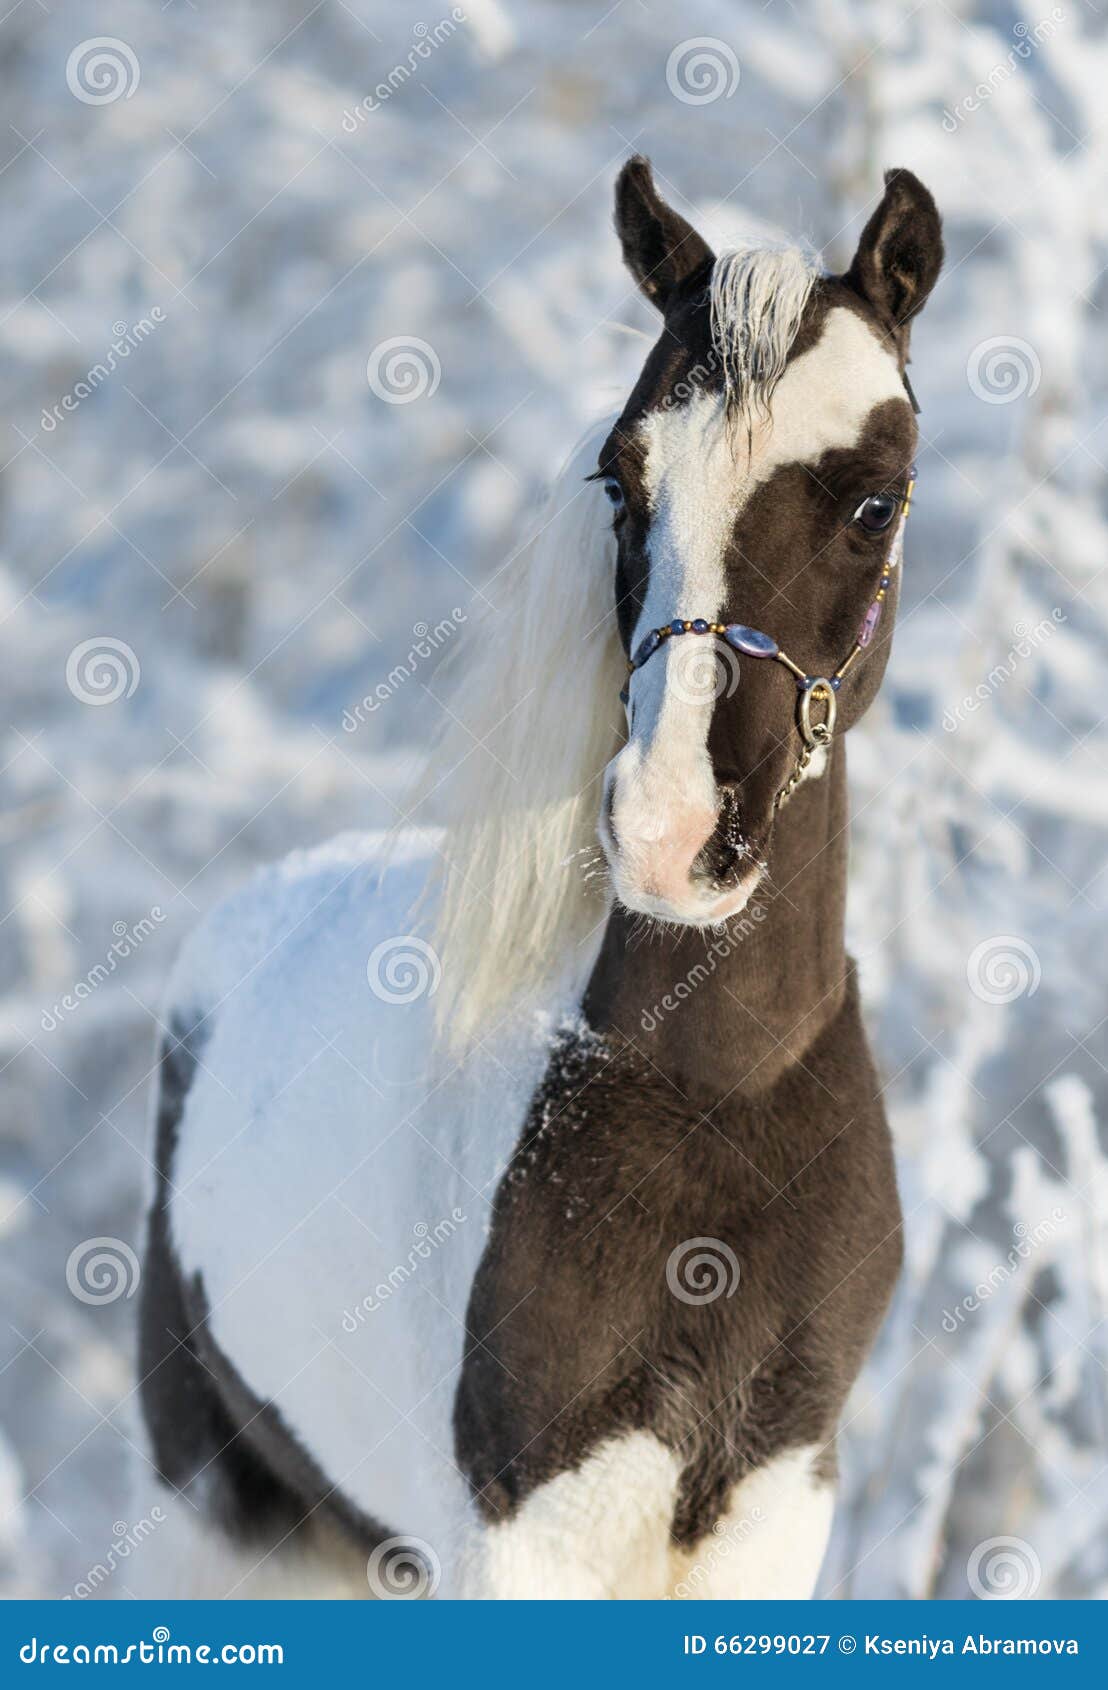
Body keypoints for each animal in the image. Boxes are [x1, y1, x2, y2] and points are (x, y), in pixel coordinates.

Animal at [133, 156, 943, 1600]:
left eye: (874, 501)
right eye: (621, 484)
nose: (671, 829)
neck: (711, 1090)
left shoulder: (774, 1505)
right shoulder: (520, 1527)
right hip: (222, 1528)